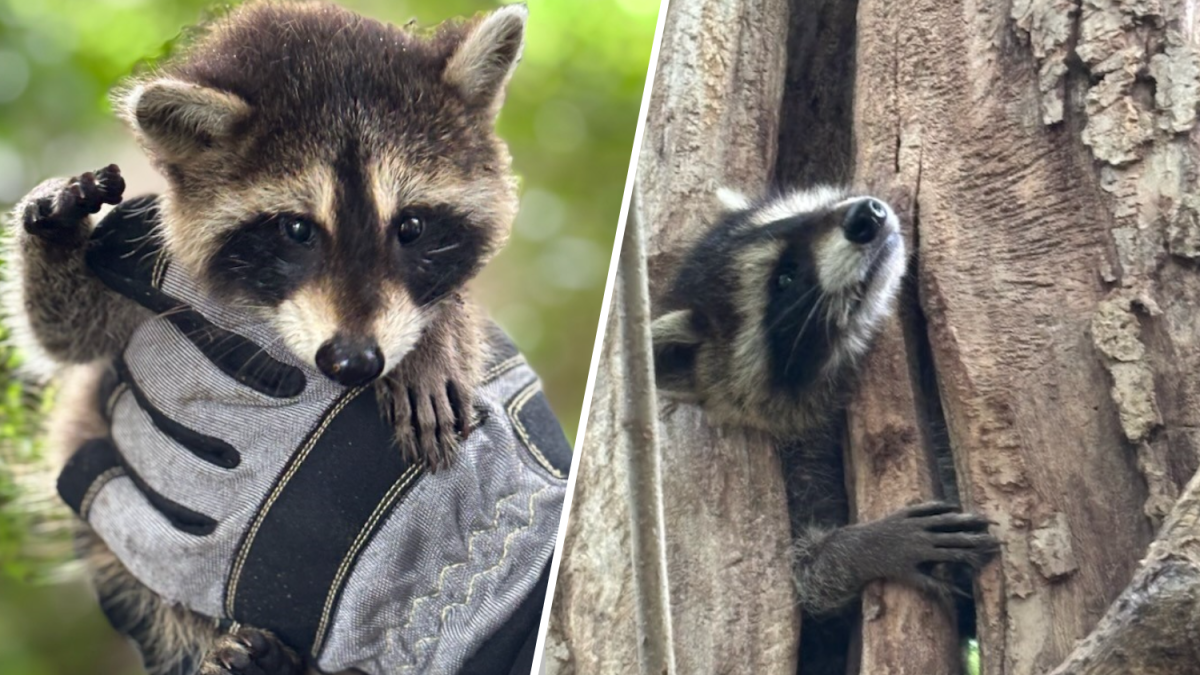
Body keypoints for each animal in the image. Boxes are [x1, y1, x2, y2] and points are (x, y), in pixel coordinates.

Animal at [4, 3, 531, 674]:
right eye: (297, 229)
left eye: (410, 226)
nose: (355, 361)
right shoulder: (142, 251)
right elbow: (67, 337)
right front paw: (51, 231)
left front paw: (435, 339)